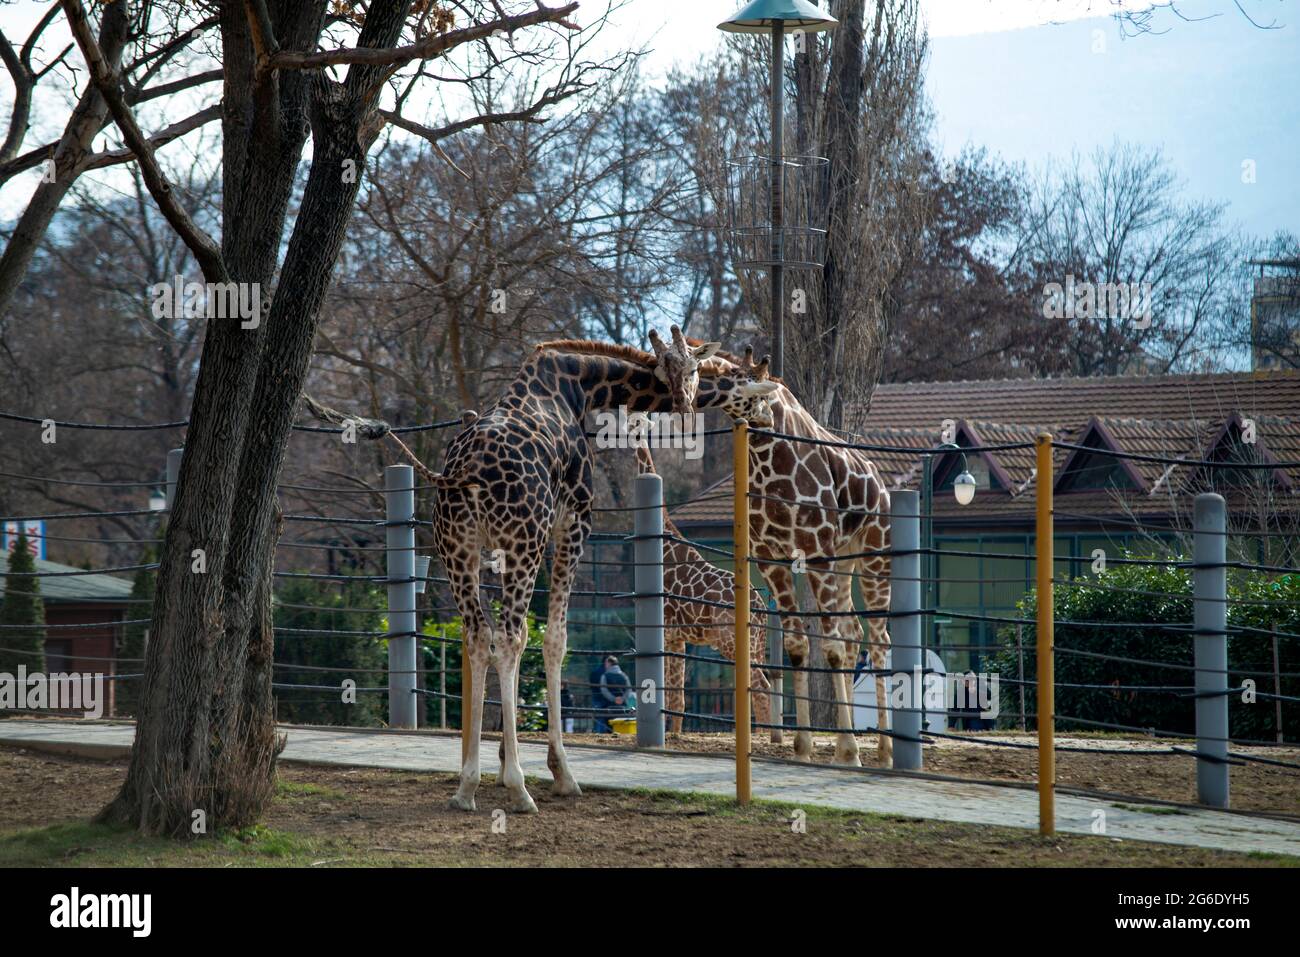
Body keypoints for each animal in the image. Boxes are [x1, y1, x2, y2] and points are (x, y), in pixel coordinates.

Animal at [633, 443, 771, 738]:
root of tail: (762, 608)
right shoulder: (677, 638)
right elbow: (677, 696)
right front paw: (674, 734)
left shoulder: (665, 633)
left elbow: (668, 691)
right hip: (754, 645)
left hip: (731, 643)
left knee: (761, 686)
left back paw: (765, 736)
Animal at [690, 344, 894, 768]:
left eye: (736, 379)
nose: (695, 393)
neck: (769, 457)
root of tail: (882, 486)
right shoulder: (771, 558)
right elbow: (799, 647)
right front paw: (803, 748)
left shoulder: (815, 550)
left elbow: (829, 648)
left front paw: (850, 752)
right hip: (845, 558)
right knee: (854, 633)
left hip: (874, 554)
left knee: (878, 638)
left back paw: (883, 753)